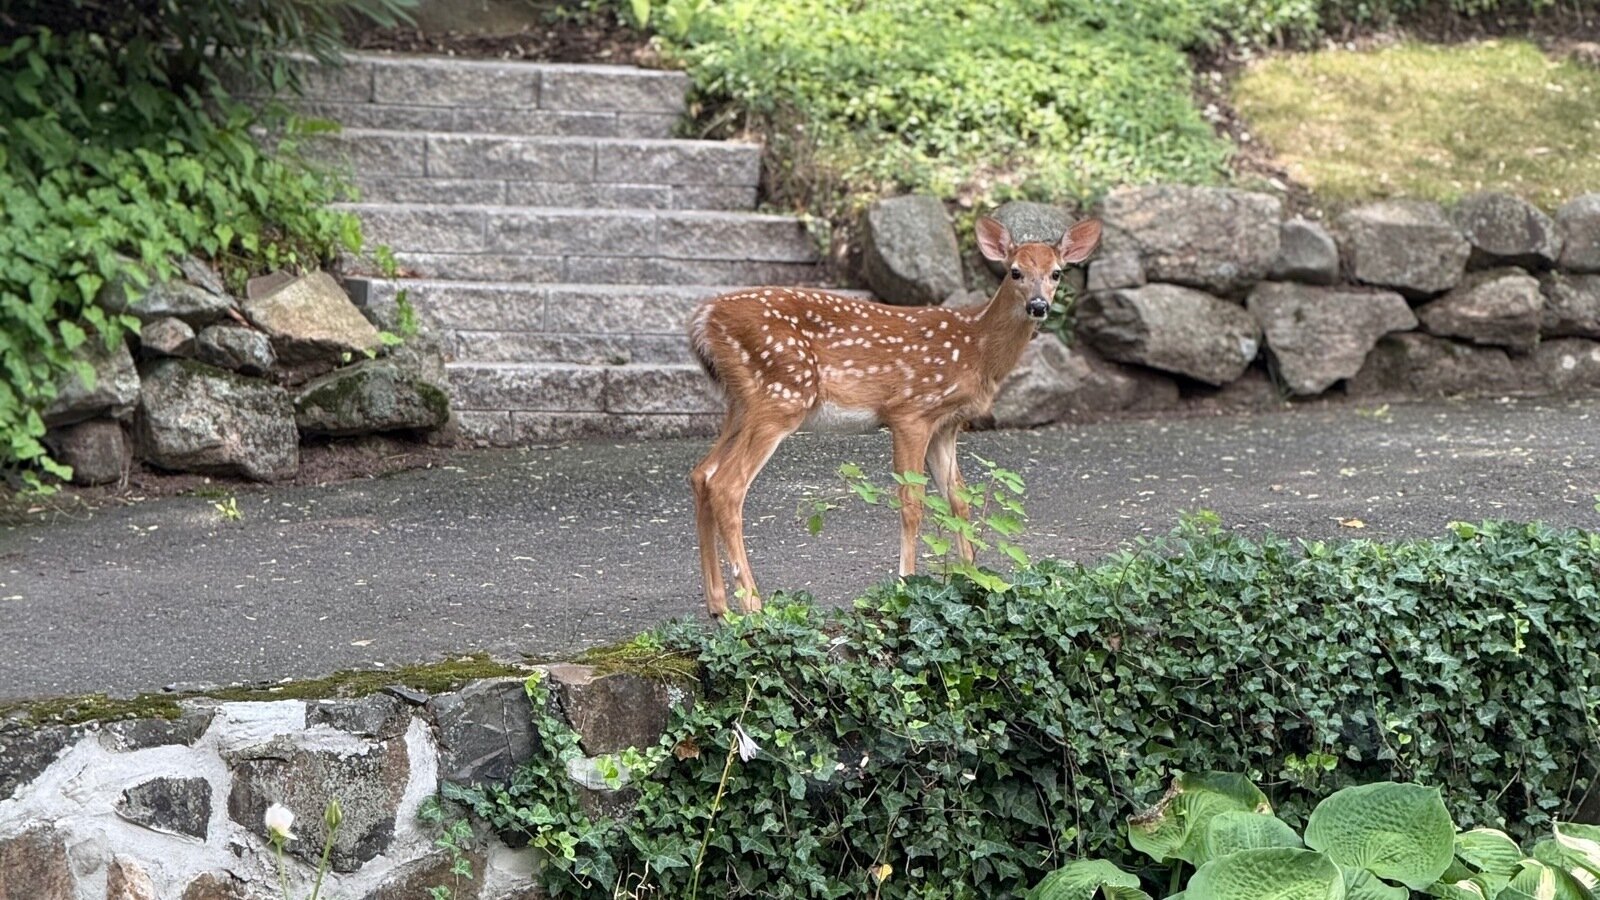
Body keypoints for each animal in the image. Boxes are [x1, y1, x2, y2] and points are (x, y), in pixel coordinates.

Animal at [686, 213, 1102, 617]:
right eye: (1015, 271)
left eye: (1056, 273)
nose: (1038, 305)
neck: (976, 348)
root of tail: (704, 319)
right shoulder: (911, 412)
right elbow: (912, 502)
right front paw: (905, 584)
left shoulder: (947, 425)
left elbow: (958, 499)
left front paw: (973, 578)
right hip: (782, 394)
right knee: (727, 485)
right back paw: (753, 605)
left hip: (742, 402)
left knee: (702, 474)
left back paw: (718, 605)